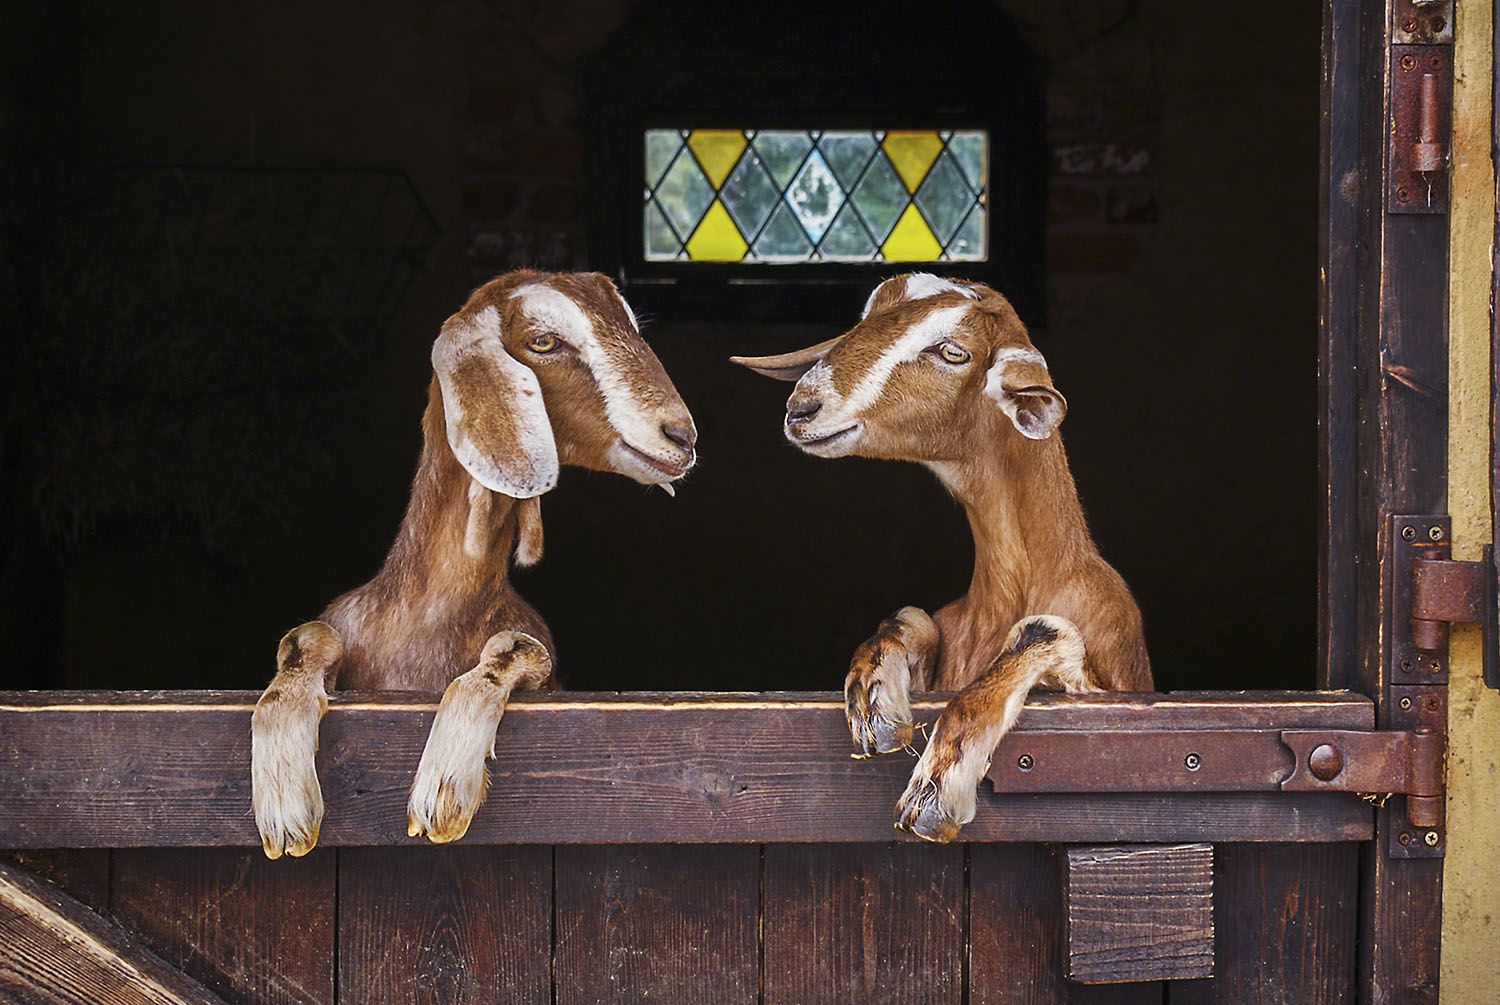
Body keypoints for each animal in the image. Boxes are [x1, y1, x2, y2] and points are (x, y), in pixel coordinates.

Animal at [252, 270, 696, 857]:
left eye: (631, 326)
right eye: (543, 341)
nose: (681, 436)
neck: (423, 620)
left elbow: (514, 648)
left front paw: (443, 783)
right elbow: (305, 638)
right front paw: (283, 803)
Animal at [731, 273, 1150, 842]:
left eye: (954, 352)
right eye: (867, 319)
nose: (803, 407)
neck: (1010, 591)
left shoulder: (1110, 687)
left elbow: (1044, 628)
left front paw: (936, 784)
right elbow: (909, 617)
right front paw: (873, 701)